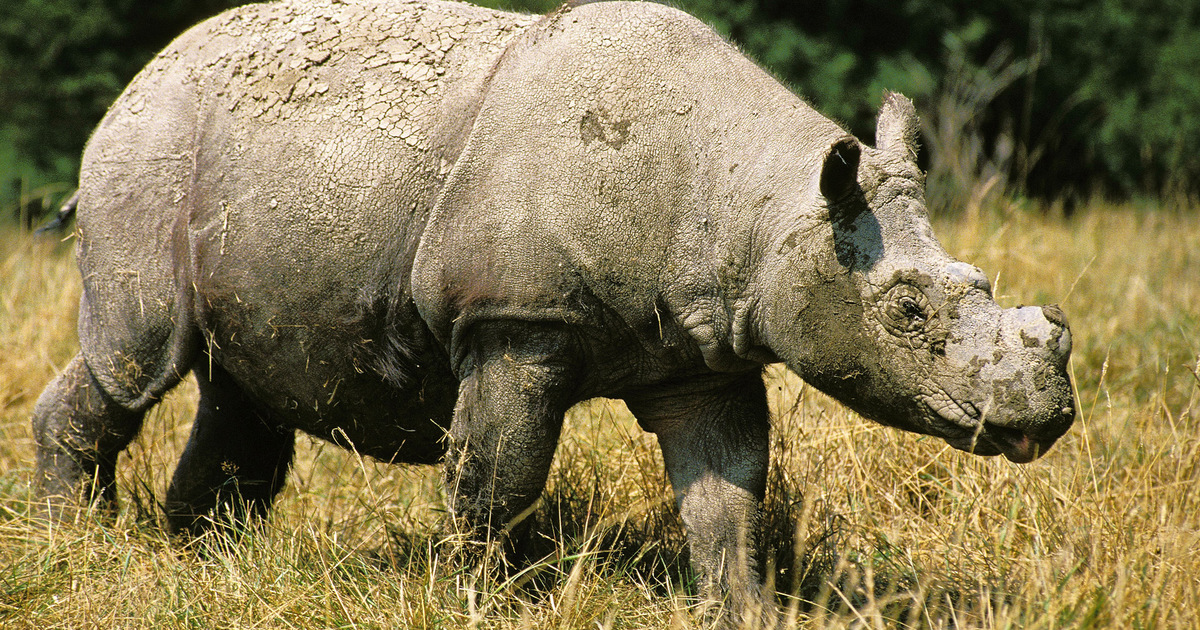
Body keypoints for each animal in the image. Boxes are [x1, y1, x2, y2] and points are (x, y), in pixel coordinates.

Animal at [32, 0, 1075, 614]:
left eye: (983, 288)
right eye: (906, 313)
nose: (1047, 414)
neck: (760, 203)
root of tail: (140, 76)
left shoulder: (706, 348)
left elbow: (727, 494)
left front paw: (745, 610)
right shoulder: (517, 322)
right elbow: (498, 478)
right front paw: (472, 600)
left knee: (243, 387)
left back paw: (201, 567)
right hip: (148, 153)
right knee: (137, 358)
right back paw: (72, 541)